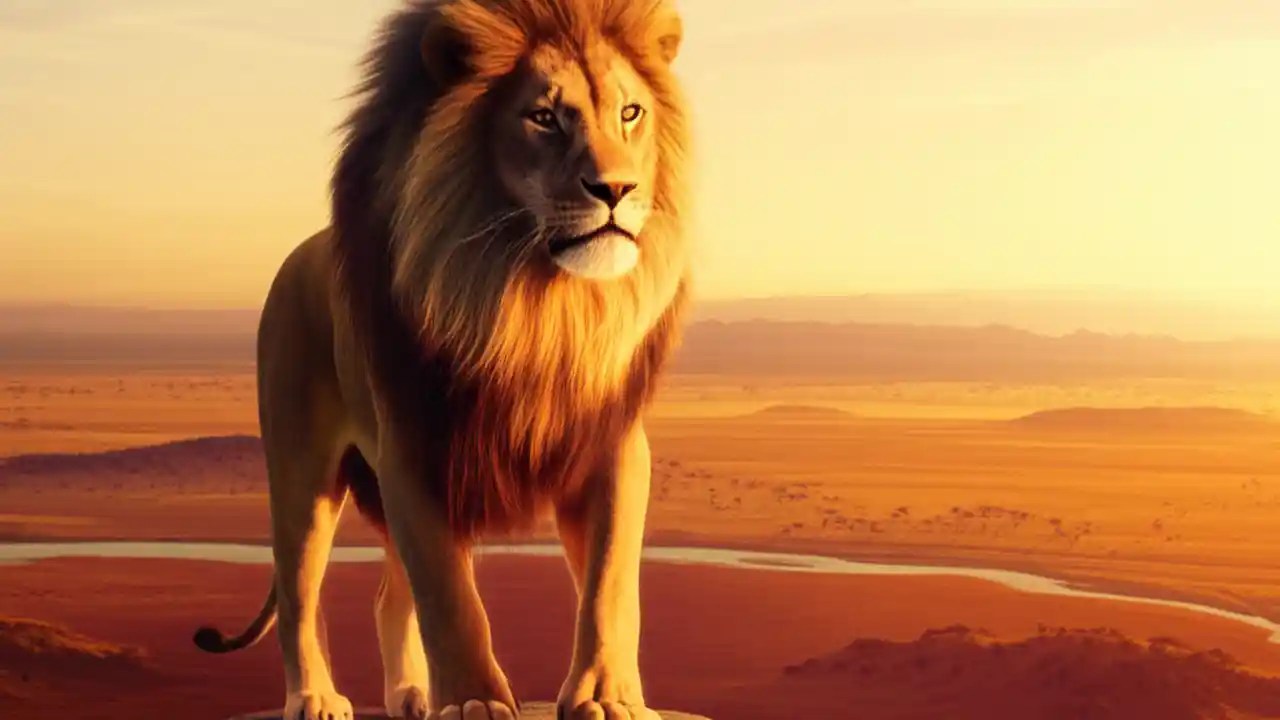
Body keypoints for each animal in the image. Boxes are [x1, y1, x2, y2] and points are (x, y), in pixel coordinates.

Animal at [190, 1, 691, 719]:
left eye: (630, 113)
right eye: (544, 118)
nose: (617, 188)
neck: (537, 309)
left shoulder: (612, 446)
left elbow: (610, 584)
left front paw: (605, 695)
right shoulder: (415, 446)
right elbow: (450, 596)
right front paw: (475, 701)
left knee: (385, 594)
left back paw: (410, 695)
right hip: (300, 470)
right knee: (298, 594)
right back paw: (315, 695)